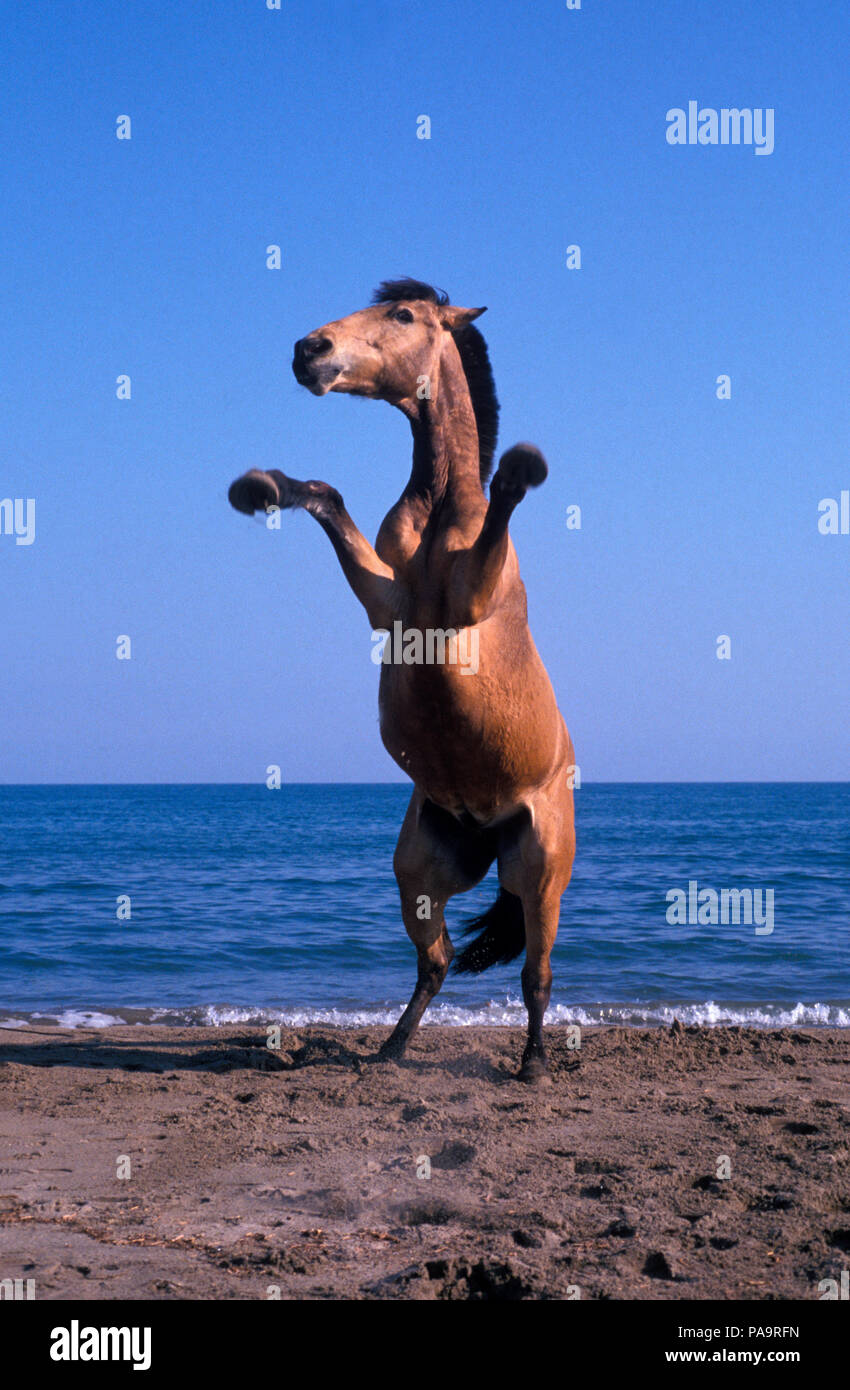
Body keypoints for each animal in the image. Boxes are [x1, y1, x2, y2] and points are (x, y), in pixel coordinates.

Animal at [228, 279, 575, 1083]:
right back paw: (389, 1049)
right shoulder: (385, 603)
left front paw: (521, 466)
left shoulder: (469, 601)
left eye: (406, 315)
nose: (309, 350)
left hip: (540, 870)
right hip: (419, 873)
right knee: (437, 961)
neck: (437, 512)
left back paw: (533, 1064)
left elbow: (503, 502)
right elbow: (327, 497)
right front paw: (261, 487)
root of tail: (487, 825)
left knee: (536, 974)